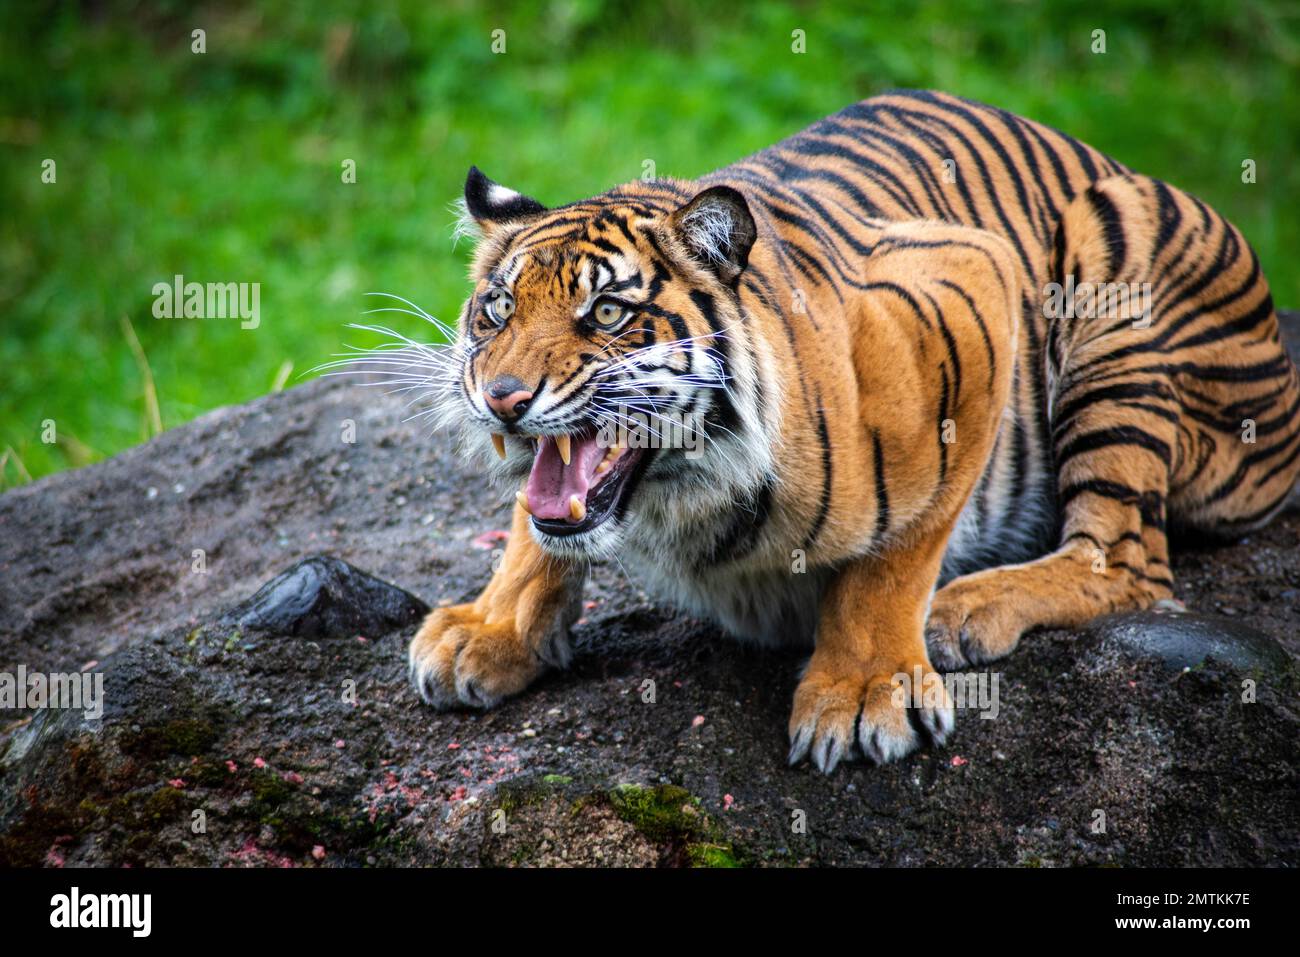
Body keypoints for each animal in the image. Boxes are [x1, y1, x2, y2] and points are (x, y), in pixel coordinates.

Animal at [404, 89, 1300, 773]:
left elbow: (900, 545)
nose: (502, 397)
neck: (683, 501)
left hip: (1114, 255)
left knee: (1129, 558)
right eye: (497, 310)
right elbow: (534, 521)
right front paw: (489, 629)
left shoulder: (967, 286)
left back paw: (970, 605)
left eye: (608, 313)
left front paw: (869, 691)